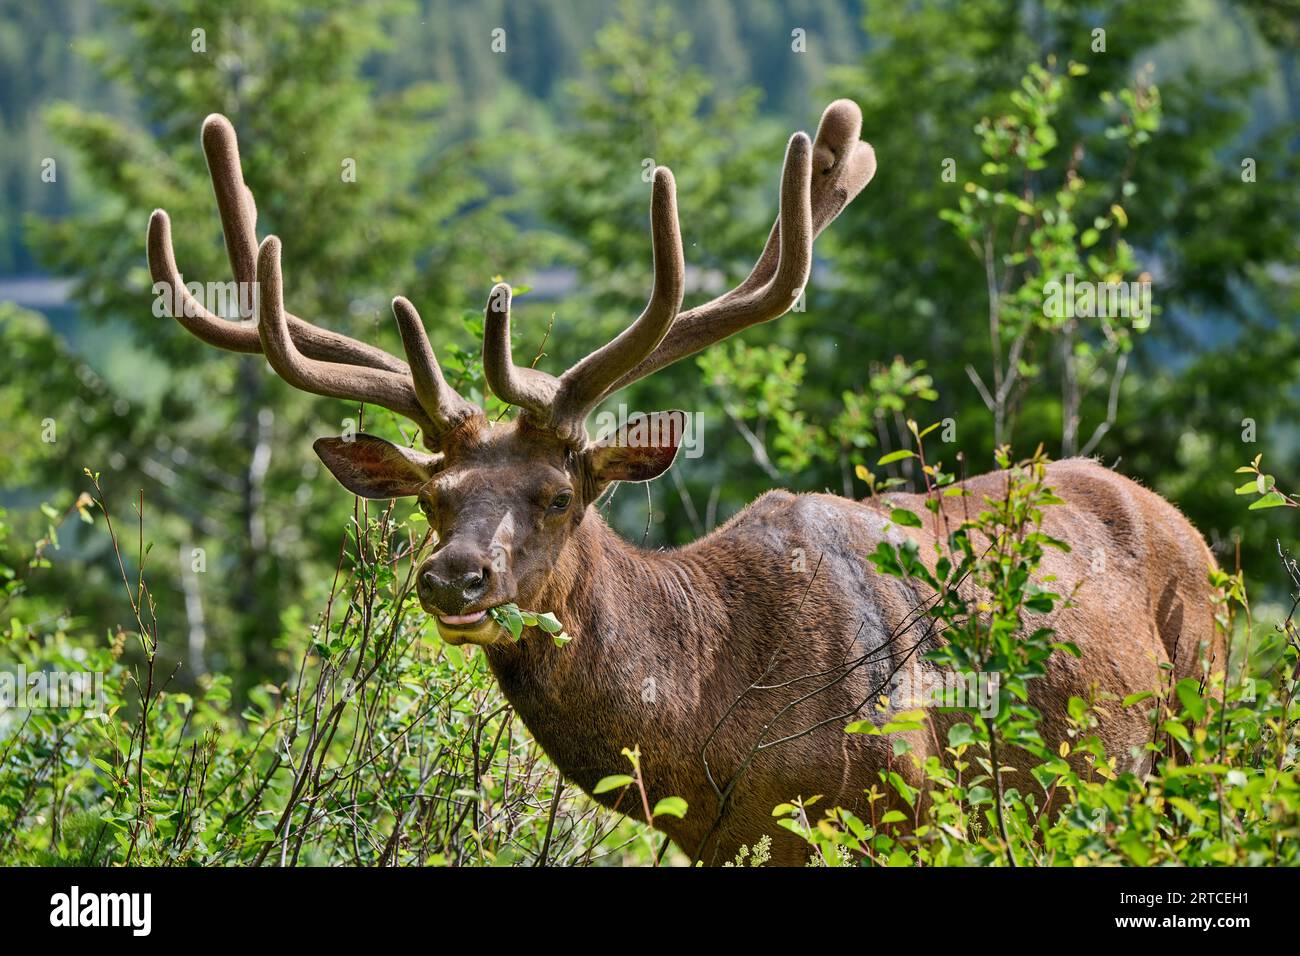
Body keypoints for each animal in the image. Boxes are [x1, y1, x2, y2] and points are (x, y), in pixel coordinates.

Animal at [147, 100, 1222, 866]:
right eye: (432, 499)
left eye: (558, 496)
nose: (454, 578)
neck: (716, 722)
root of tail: (1188, 528)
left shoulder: (908, 808)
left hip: (1198, 732)